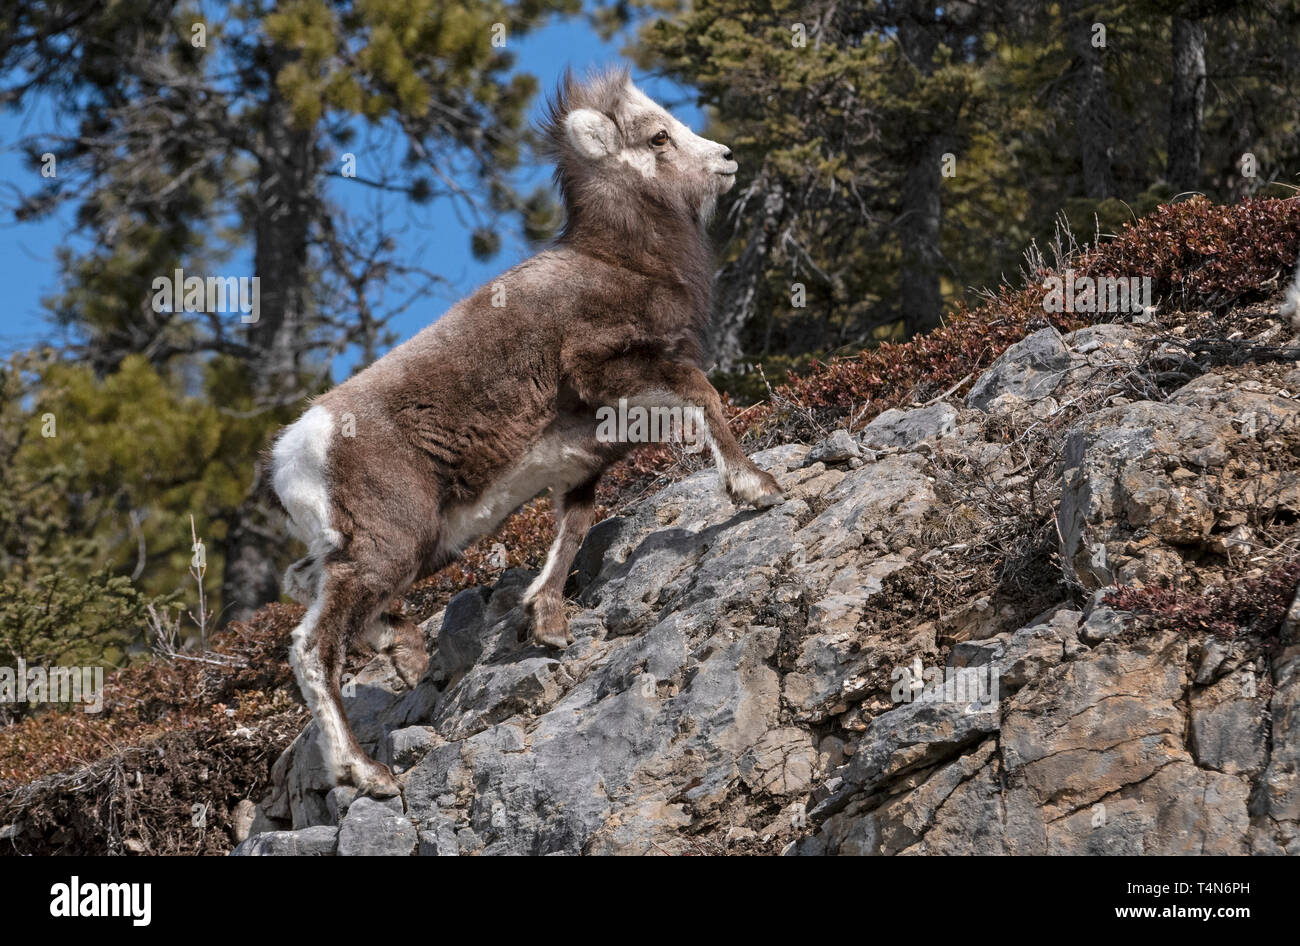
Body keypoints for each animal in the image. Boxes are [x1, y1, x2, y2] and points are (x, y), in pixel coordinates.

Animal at [269, 66, 785, 799]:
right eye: (658, 135)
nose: (726, 158)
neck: (626, 261)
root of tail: (296, 452)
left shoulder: (581, 464)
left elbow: (571, 533)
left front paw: (547, 624)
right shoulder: (612, 368)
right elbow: (703, 396)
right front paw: (756, 488)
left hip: (380, 551)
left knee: (324, 603)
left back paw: (408, 654)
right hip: (389, 549)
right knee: (313, 646)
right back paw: (366, 772)